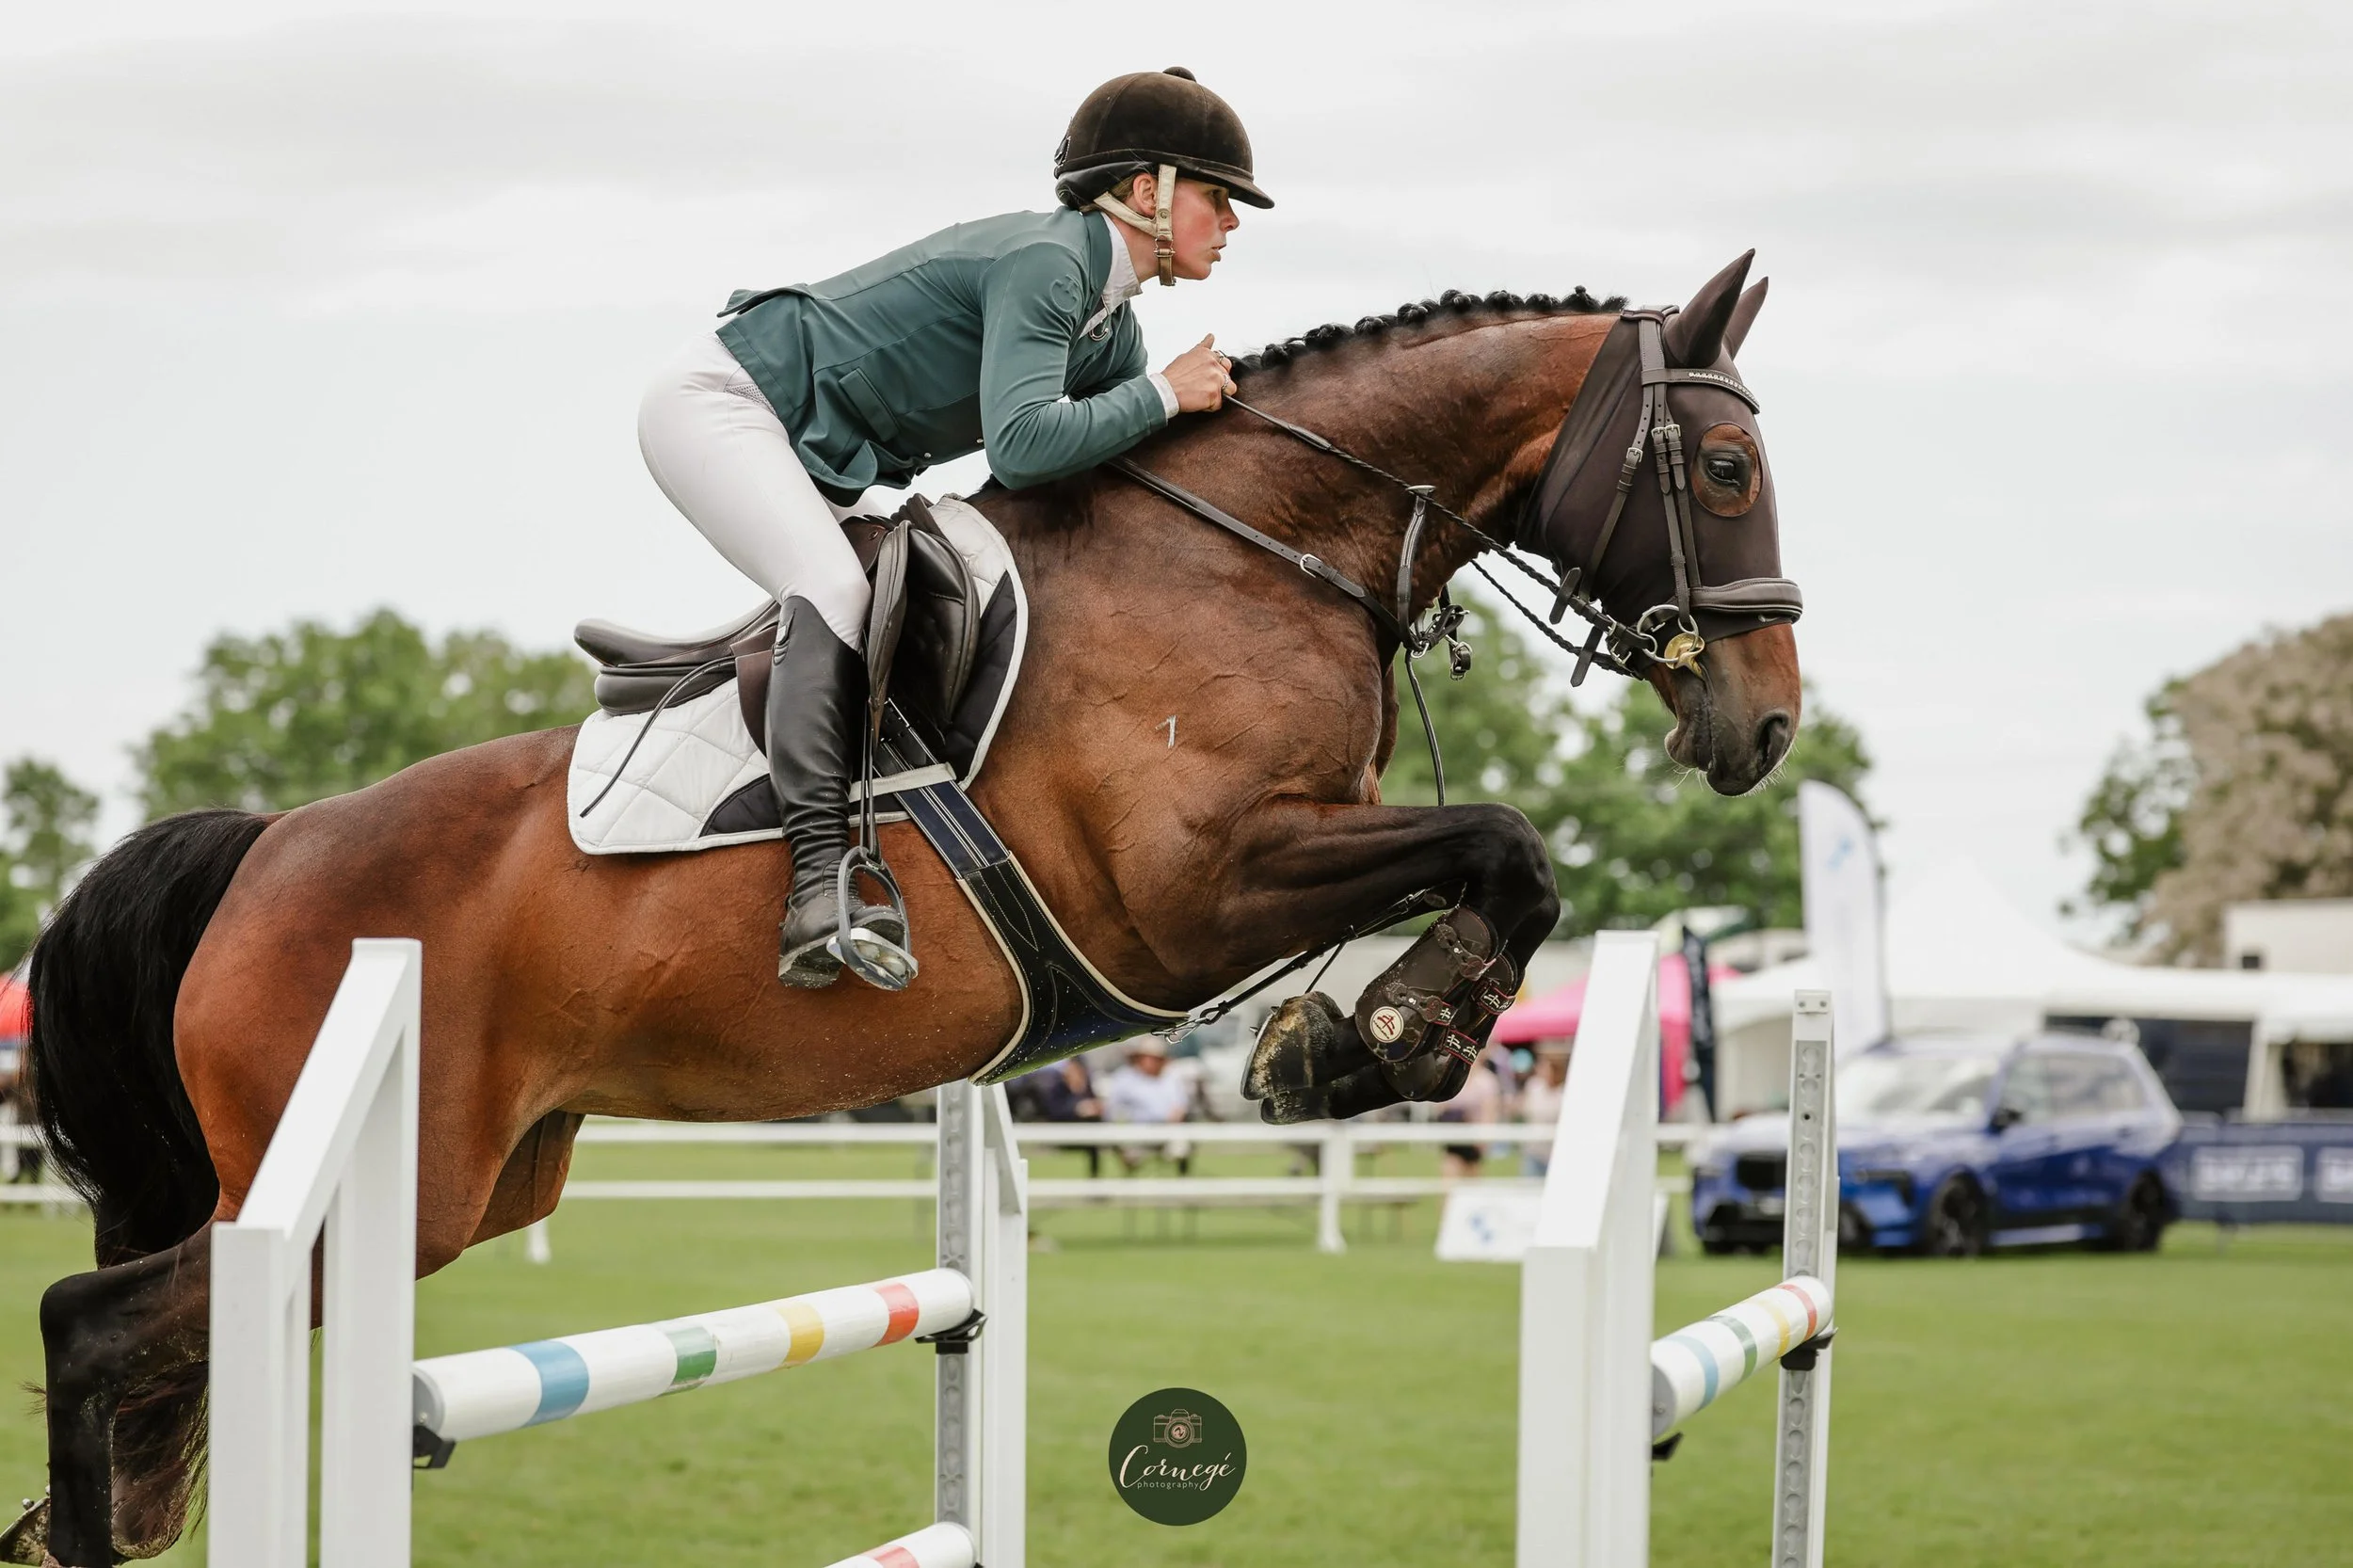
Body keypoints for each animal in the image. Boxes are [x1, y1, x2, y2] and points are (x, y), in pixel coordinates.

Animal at [12, 251, 1799, 1565]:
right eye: (1723, 465)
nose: (1766, 727)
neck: (1259, 554)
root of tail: (265, 850)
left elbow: (1505, 862)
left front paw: (1364, 1037)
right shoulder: (1197, 888)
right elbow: (1505, 838)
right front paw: (1383, 1034)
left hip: (471, 1185)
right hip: (370, 1186)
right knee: (97, 1322)